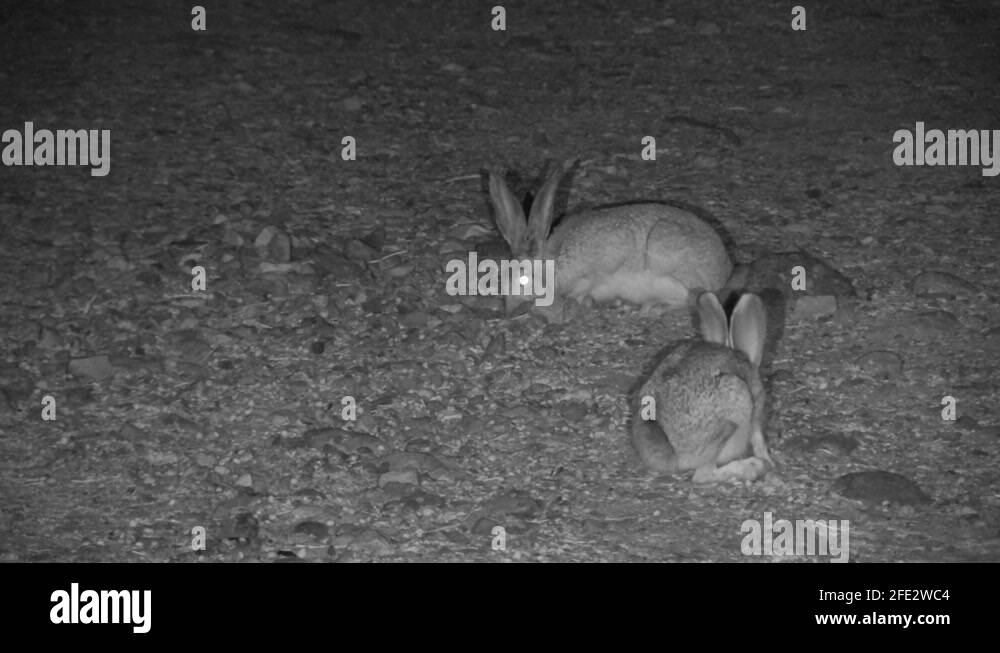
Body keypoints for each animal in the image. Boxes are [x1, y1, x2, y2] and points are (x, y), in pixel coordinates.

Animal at [487, 164, 732, 320]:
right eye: (500, 278)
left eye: (523, 279)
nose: (509, 313)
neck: (553, 261)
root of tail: (724, 271)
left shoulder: (605, 262)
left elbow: (588, 283)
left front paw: (577, 301)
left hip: (665, 253)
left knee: (693, 298)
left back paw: (650, 308)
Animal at [631, 291, 773, 483]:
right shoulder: (756, 409)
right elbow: (759, 439)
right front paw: (769, 462)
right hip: (736, 404)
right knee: (703, 475)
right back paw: (754, 467)